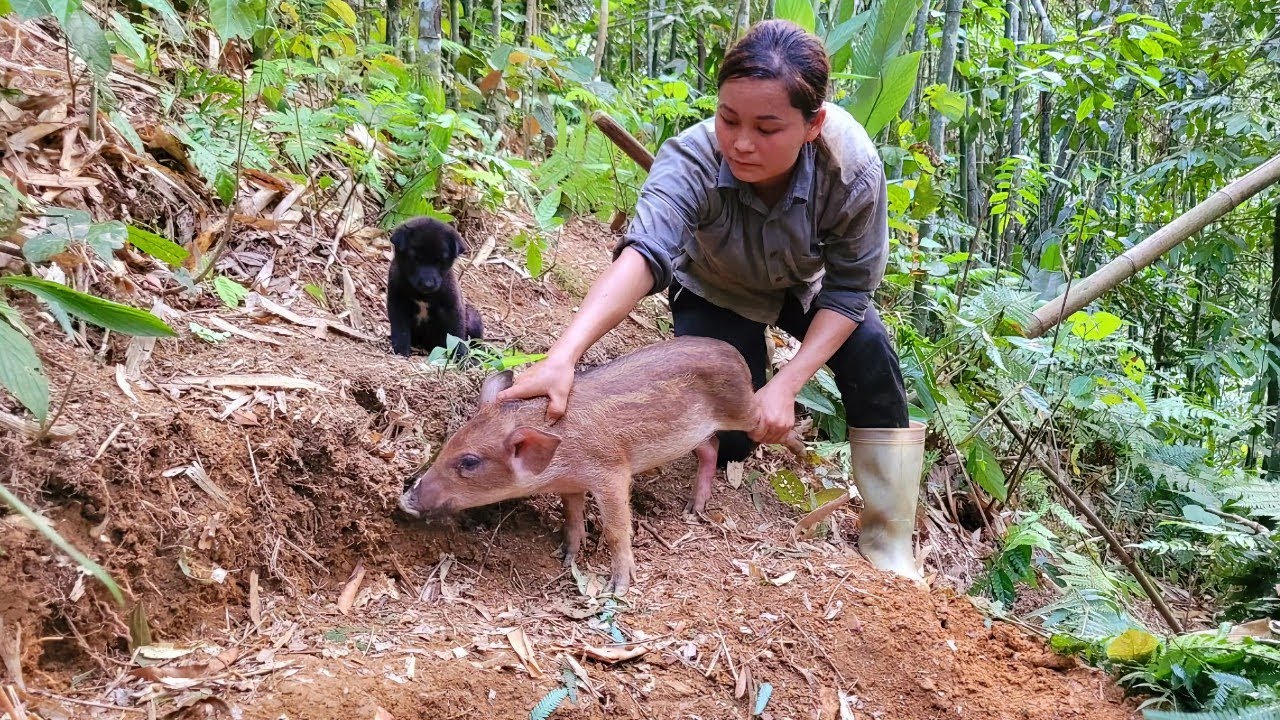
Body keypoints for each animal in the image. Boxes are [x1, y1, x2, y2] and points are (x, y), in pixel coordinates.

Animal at [397, 335, 801, 594]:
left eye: (469, 462)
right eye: (451, 443)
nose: (405, 499)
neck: (560, 462)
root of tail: (733, 351)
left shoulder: (611, 472)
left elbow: (616, 528)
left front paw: (617, 588)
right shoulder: (571, 484)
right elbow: (572, 517)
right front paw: (565, 557)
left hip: (743, 409)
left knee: (766, 424)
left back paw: (802, 452)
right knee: (711, 447)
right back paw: (692, 509)